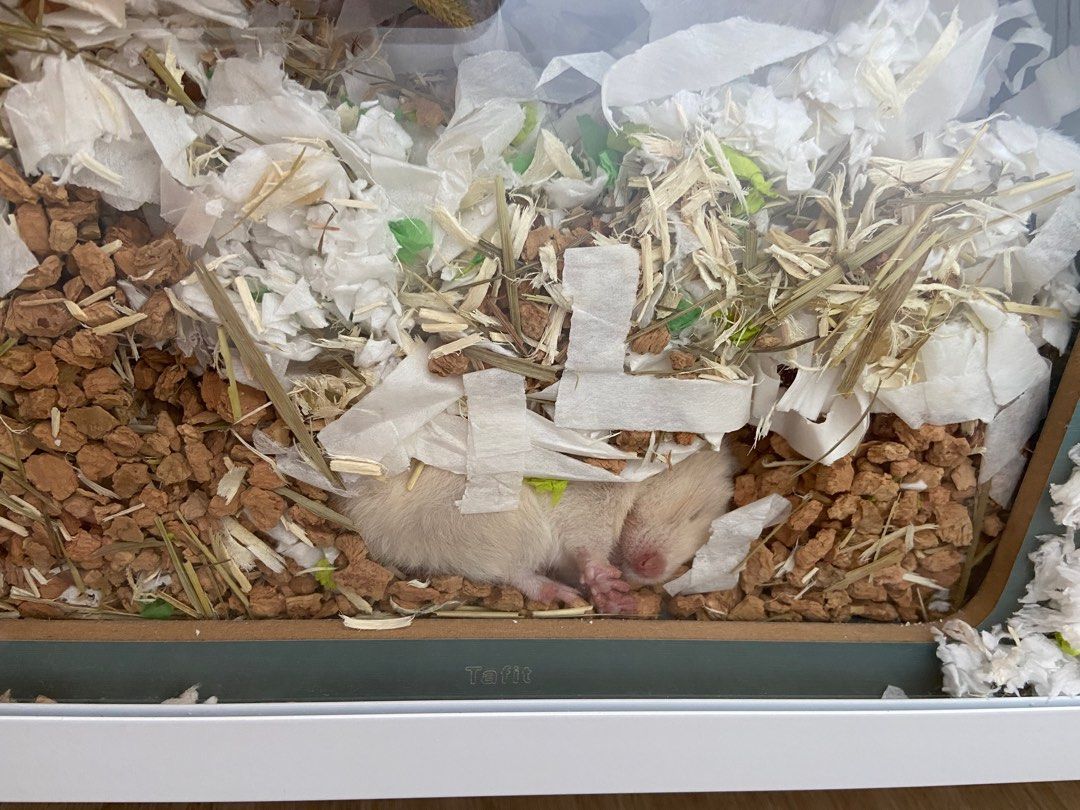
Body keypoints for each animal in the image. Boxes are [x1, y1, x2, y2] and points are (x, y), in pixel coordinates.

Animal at [332, 447, 735, 614]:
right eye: (694, 514)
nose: (650, 571)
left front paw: (616, 596)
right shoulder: (589, 502)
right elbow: (590, 544)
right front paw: (608, 581)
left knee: (510, 572)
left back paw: (576, 596)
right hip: (507, 520)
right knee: (509, 568)